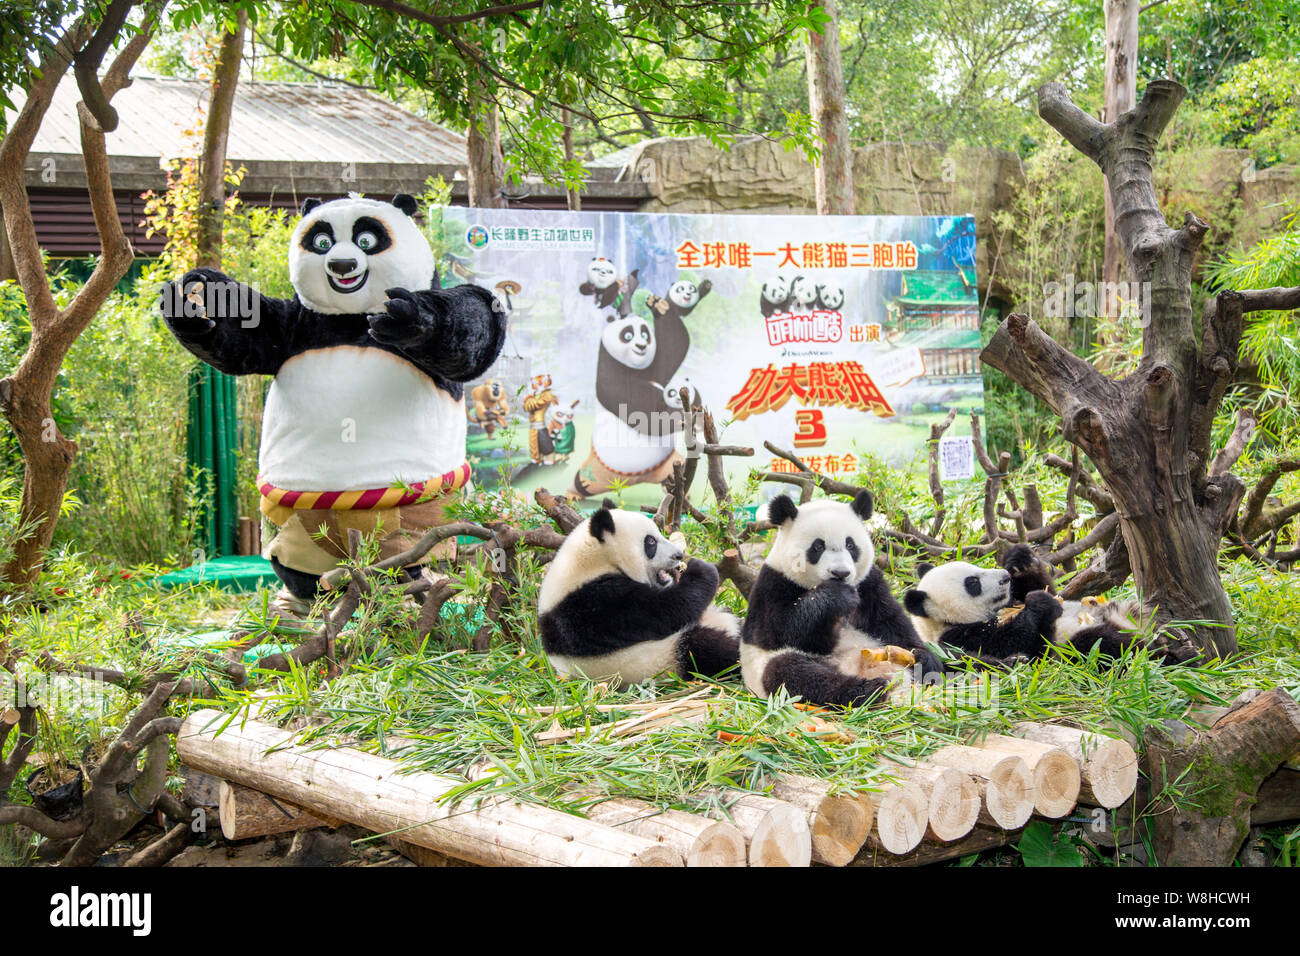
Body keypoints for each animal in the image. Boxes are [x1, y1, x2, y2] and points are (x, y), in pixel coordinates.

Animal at [159, 193, 506, 601]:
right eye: (322, 242)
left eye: (367, 240)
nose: (342, 265)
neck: (349, 320)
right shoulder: (296, 326)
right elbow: (243, 338)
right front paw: (195, 301)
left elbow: (473, 325)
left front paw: (409, 318)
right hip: (289, 519)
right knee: (292, 552)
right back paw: (311, 589)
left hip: (409, 515)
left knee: (403, 549)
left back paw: (395, 581)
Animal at [538, 501, 741, 685]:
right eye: (650, 541)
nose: (678, 555)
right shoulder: (593, 604)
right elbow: (666, 611)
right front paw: (702, 569)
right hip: (663, 657)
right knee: (704, 649)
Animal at [741, 492, 944, 708]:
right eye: (818, 546)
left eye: (850, 544)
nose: (841, 573)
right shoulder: (773, 585)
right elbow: (783, 630)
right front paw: (836, 597)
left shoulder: (868, 583)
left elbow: (890, 621)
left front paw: (925, 658)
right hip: (771, 667)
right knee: (795, 674)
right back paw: (868, 690)